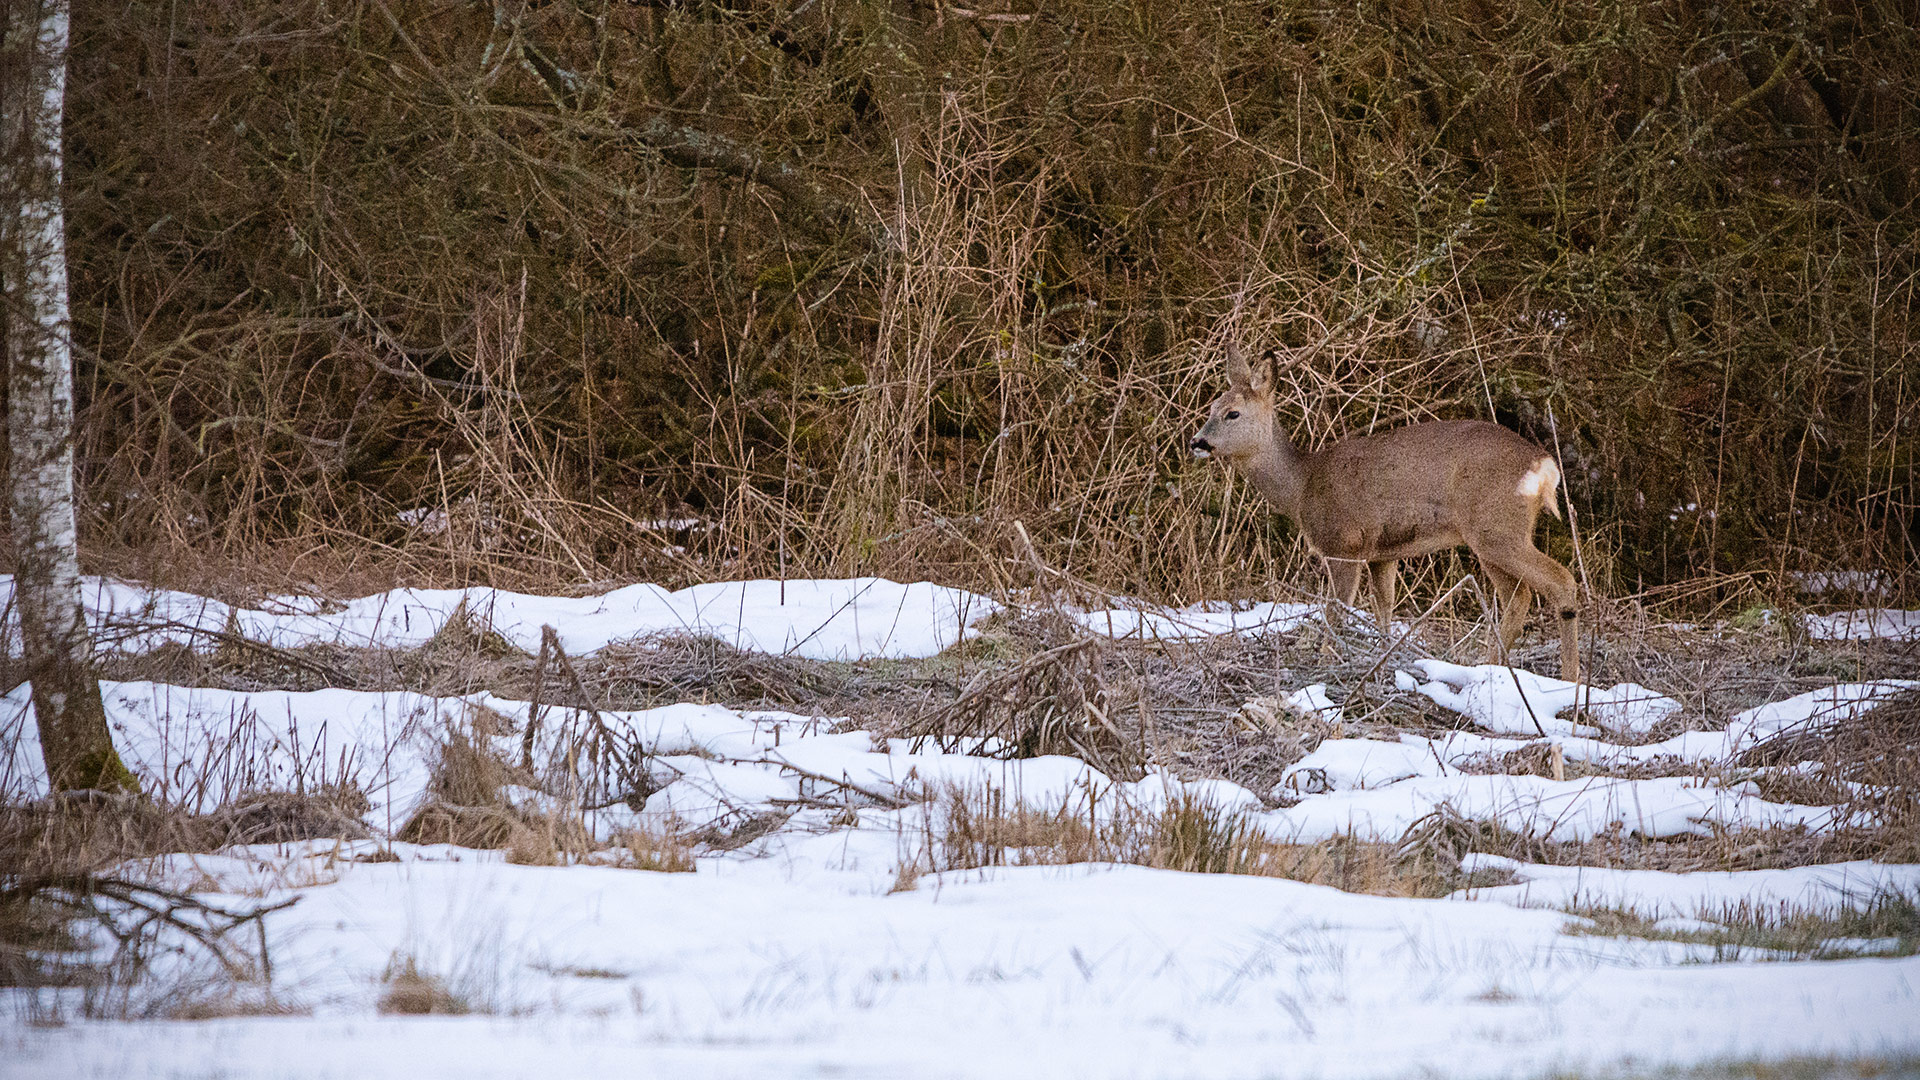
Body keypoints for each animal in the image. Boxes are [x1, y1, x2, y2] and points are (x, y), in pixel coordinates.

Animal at [1190, 343, 1582, 676]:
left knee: (1560, 581)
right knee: (1518, 595)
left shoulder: (1344, 544)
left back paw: (1571, 682)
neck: (1302, 486)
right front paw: (1383, 658)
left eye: (1232, 413)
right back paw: (1490, 669)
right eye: (1211, 408)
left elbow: (1336, 612)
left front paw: (1326, 660)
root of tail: (1545, 466)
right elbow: (1384, 612)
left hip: (1495, 527)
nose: (1197, 442)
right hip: (1493, 536)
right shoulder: (1383, 554)